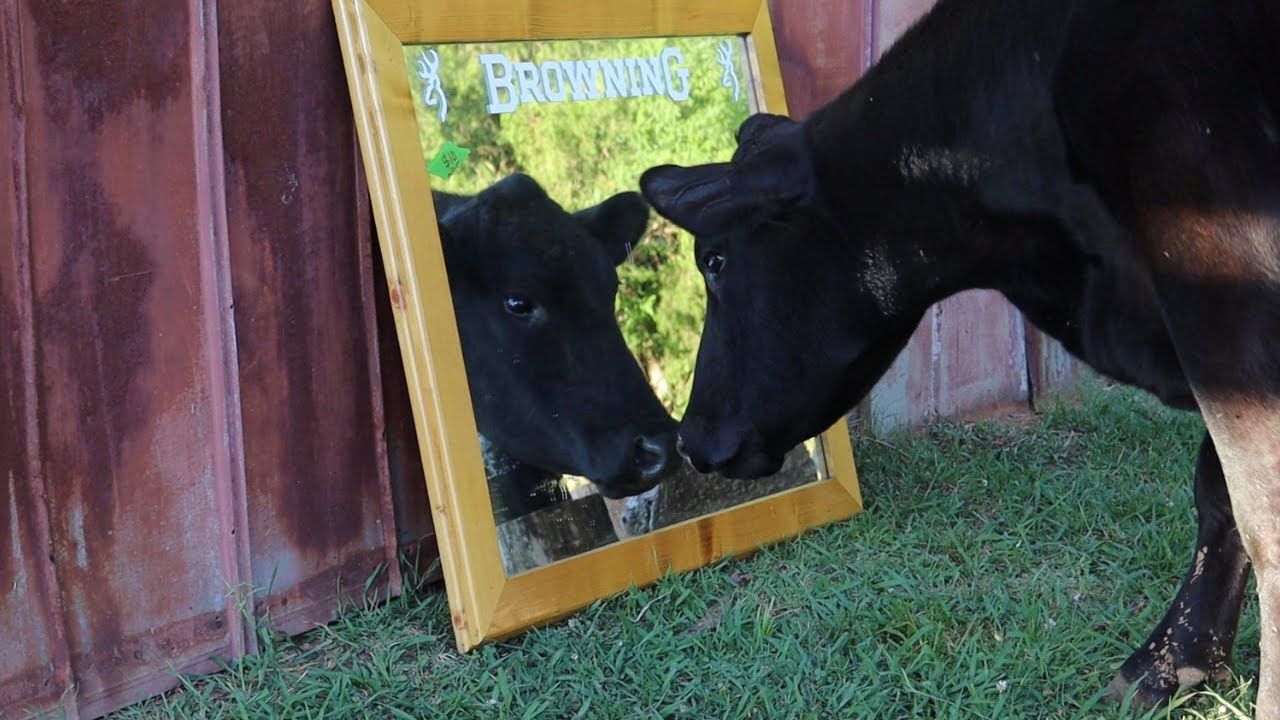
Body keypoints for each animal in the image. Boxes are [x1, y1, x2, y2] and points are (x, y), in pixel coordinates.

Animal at [639, 0, 1280, 714]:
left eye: (714, 261)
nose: (690, 438)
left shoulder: (1219, 283)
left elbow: (1260, 510)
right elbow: (1216, 488)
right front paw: (1174, 663)